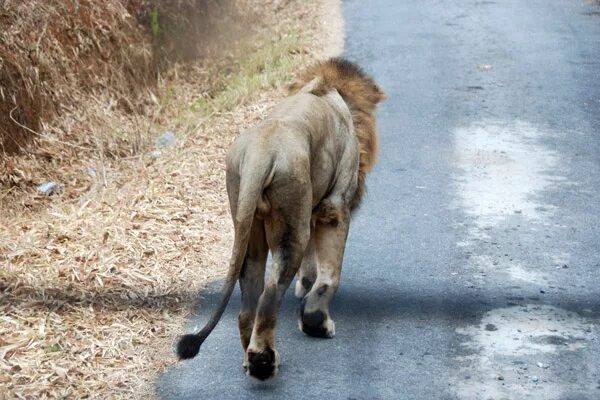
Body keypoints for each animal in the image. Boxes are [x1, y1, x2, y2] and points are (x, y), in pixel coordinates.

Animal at [178, 57, 384, 382]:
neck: (327, 88)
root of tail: (261, 154)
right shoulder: (334, 206)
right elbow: (329, 276)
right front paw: (316, 321)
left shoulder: (310, 209)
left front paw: (307, 289)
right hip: (290, 228)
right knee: (269, 295)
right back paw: (262, 362)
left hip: (250, 227)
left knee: (248, 303)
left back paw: (253, 359)